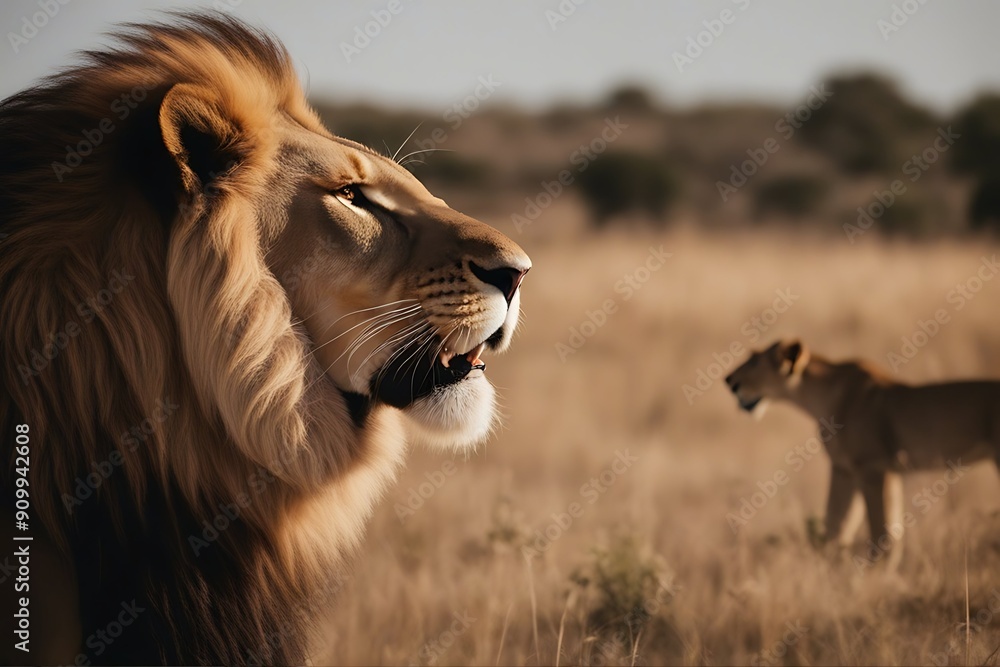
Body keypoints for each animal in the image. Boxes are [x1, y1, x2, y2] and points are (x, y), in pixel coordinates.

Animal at [725, 339, 999, 570]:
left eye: (754, 361)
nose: (728, 379)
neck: (819, 397)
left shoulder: (874, 468)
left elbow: (884, 533)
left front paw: (878, 581)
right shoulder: (845, 470)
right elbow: (836, 527)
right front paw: (830, 575)